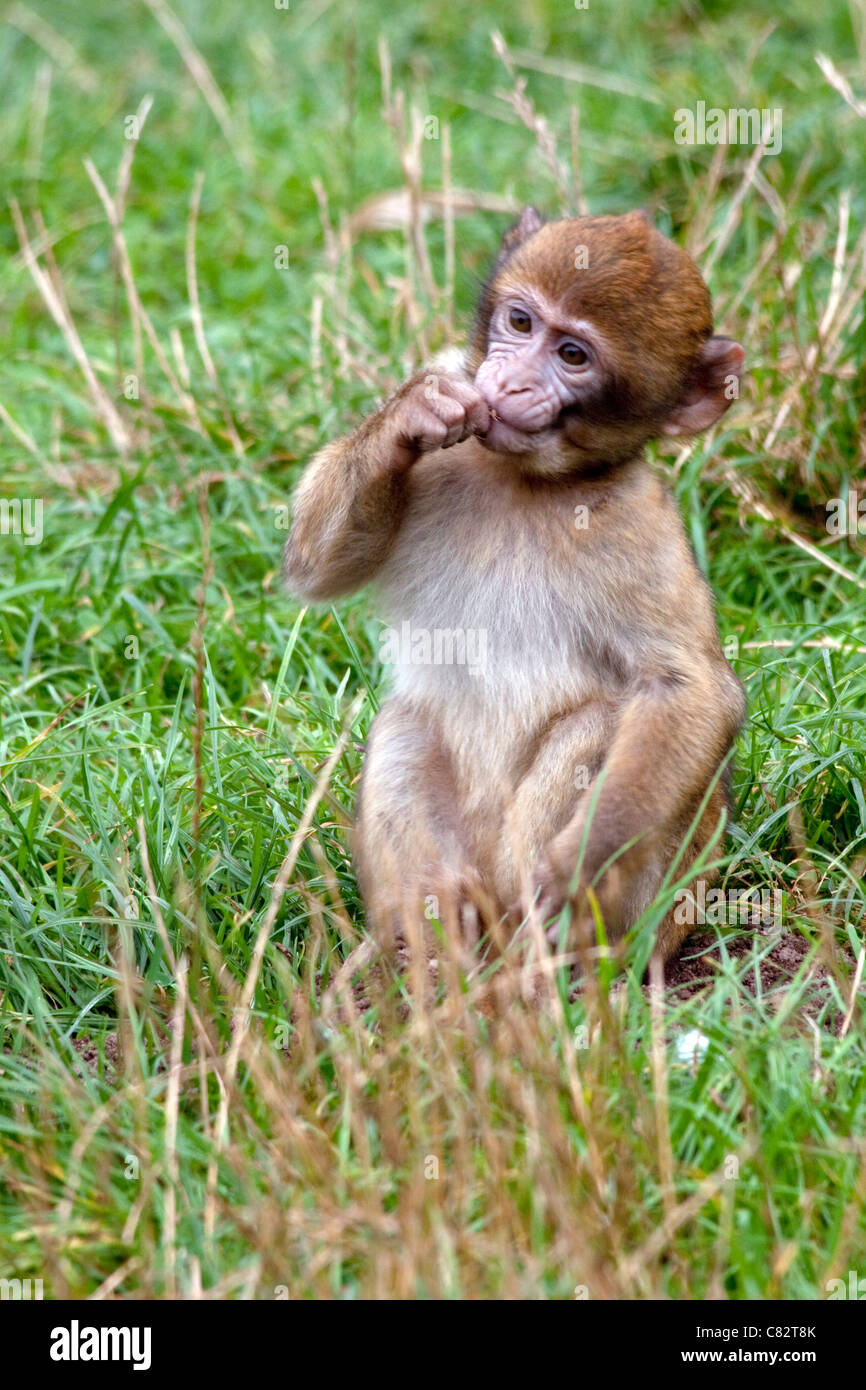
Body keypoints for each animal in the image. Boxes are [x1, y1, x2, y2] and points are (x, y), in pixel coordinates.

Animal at [284, 207, 746, 963]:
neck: (522, 481)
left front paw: (580, 859)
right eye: (521, 322)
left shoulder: (637, 523)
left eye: (573, 356)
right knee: (408, 724)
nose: (511, 383)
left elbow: (689, 688)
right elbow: (317, 568)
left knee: (595, 726)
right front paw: (411, 415)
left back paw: (547, 962)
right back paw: (428, 948)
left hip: (657, 905)